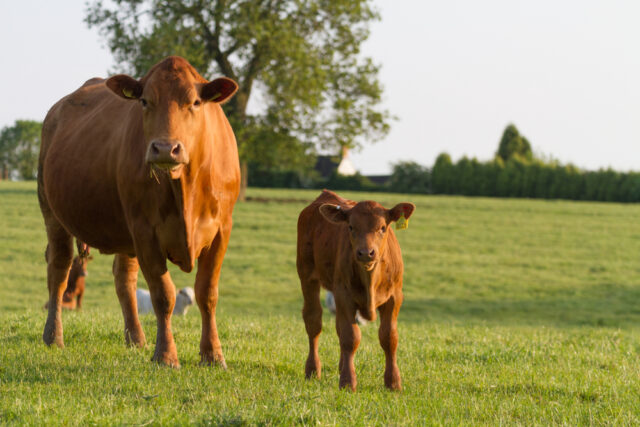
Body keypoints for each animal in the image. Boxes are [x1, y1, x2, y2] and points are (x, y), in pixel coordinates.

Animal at [38, 56, 240, 368]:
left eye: (195, 102)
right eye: (145, 101)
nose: (165, 148)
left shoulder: (221, 231)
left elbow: (207, 293)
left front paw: (213, 355)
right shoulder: (146, 232)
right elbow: (163, 295)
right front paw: (166, 356)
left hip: (125, 232)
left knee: (124, 279)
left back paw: (136, 339)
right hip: (53, 212)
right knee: (59, 270)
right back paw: (53, 337)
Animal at [296, 190, 415, 391]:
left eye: (383, 227)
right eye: (351, 227)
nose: (366, 253)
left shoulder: (395, 297)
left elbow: (389, 337)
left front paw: (393, 382)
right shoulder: (344, 295)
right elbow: (350, 337)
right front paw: (347, 382)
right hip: (307, 275)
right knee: (313, 321)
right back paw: (312, 370)